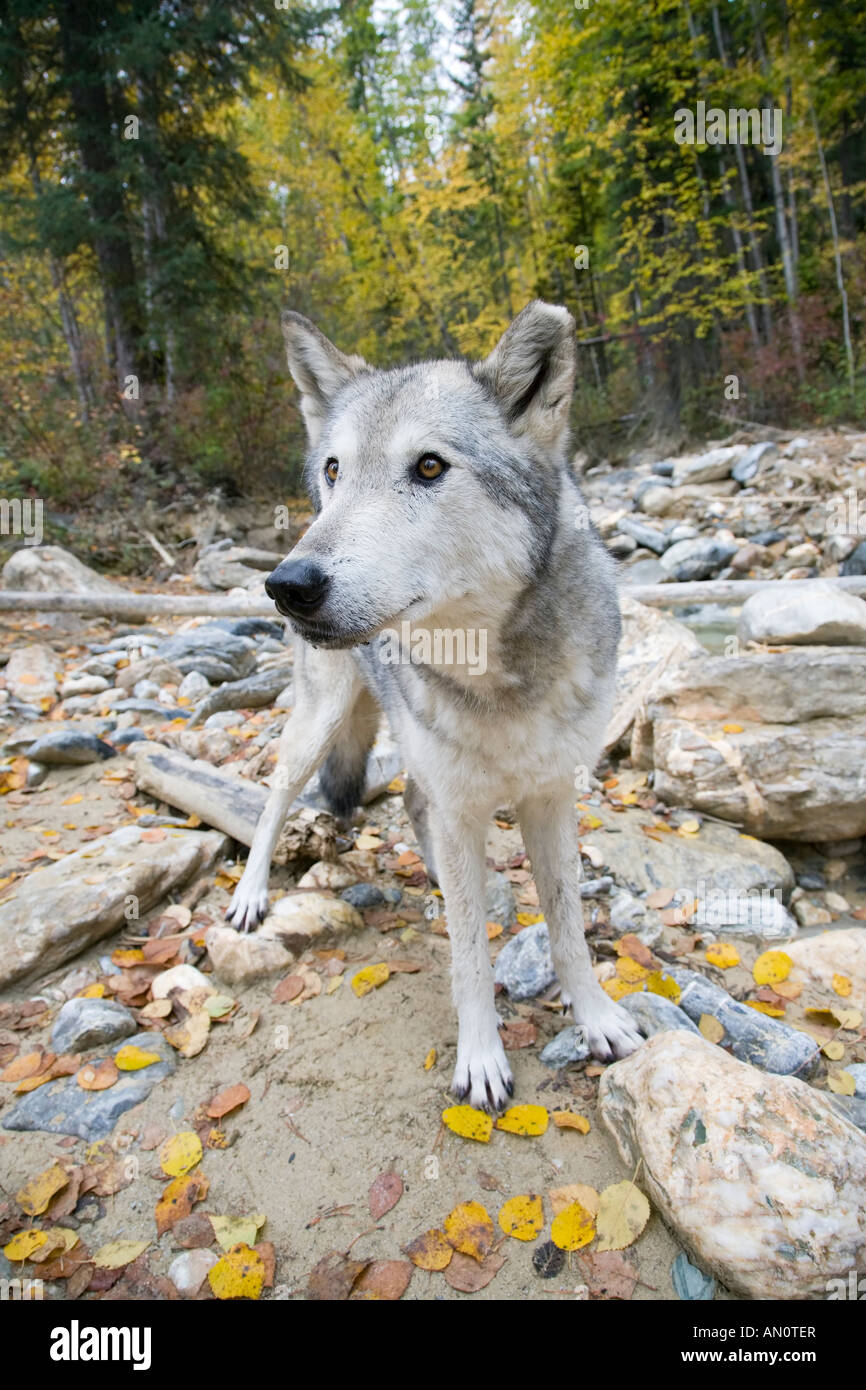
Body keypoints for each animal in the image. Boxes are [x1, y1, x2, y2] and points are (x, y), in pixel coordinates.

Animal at [226, 300, 642, 1109]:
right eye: (333, 471)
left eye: (428, 467)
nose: (288, 585)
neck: (498, 676)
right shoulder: (464, 799)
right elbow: (468, 952)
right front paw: (480, 1057)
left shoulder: (552, 794)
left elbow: (568, 926)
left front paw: (597, 1018)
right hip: (320, 727)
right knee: (274, 799)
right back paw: (251, 895)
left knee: (416, 809)